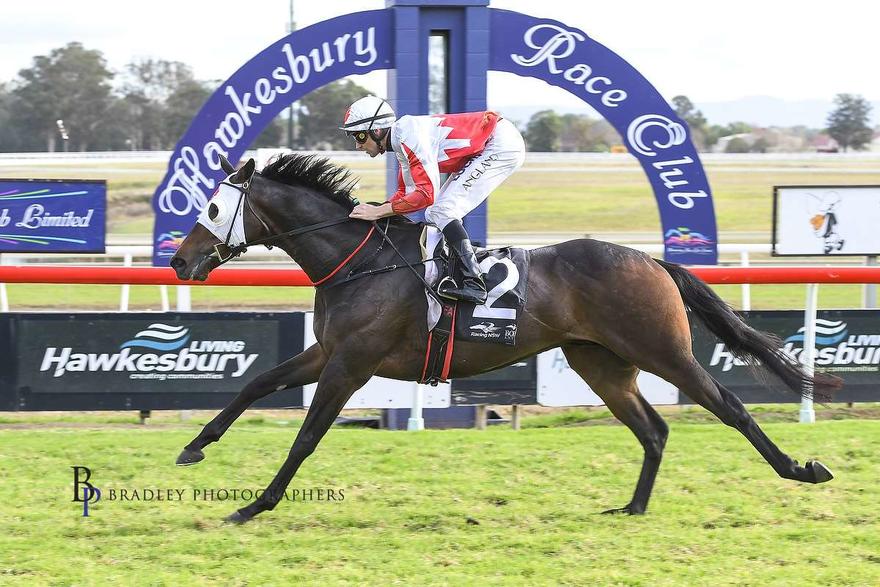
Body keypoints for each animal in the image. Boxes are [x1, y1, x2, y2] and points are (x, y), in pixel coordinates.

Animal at [170, 153, 841, 524]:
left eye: (212, 208)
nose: (179, 261)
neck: (358, 260)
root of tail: (652, 261)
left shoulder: (352, 364)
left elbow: (307, 436)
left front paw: (253, 504)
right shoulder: (329, 353)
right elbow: (257, 383)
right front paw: (194, 448)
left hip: (663, 351)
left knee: (729, 408)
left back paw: (800, 469)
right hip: (601, 364)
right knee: (653, 429)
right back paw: (632, 507)